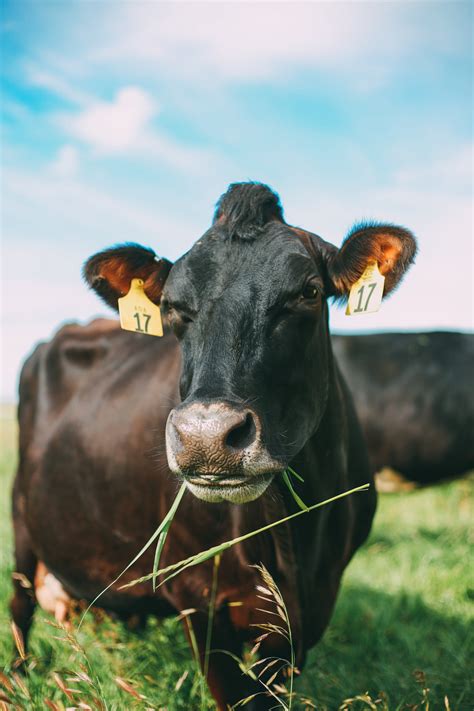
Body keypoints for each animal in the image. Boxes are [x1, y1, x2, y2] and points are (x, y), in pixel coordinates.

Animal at [11, 182, 416, 709]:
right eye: (172, 306)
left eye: (307, 292)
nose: (206, 436)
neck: (293, 546)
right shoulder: (197, 598)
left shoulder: (307, 612)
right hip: (21, 517)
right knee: (19, 605)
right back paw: (19, 678)